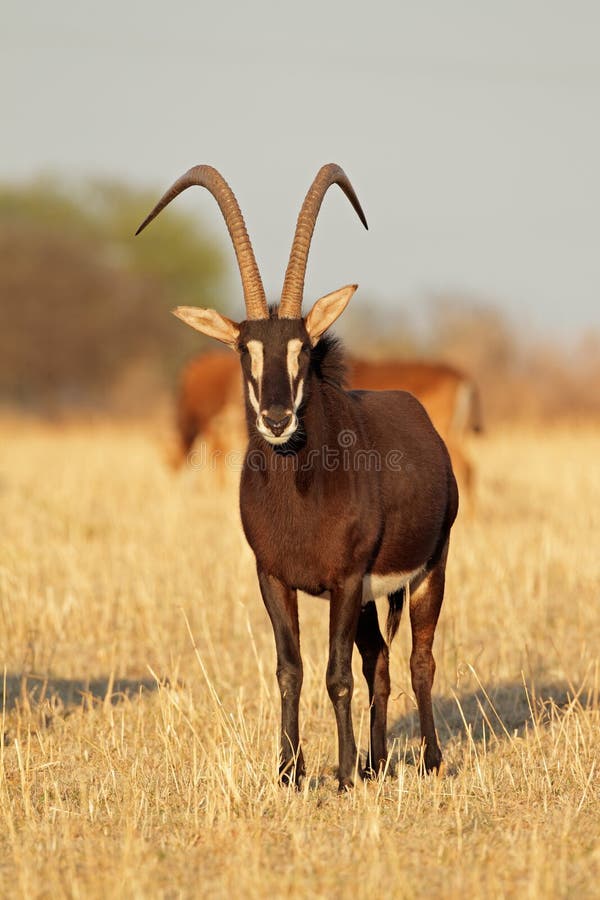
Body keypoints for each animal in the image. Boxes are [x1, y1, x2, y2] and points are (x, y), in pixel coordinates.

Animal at [137, 163, 458, 789]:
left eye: (303, 348)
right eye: (245, 349)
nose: (277, 418)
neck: (299, 492)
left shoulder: (345, 580)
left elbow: (336, 674)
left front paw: (341, 774)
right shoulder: (274, 578)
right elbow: (291, 668)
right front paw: (290, 770)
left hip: (428, 570)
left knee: (418, 658)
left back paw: (428, 759)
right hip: (371, 598)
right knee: (380, 661)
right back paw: (377, 761)